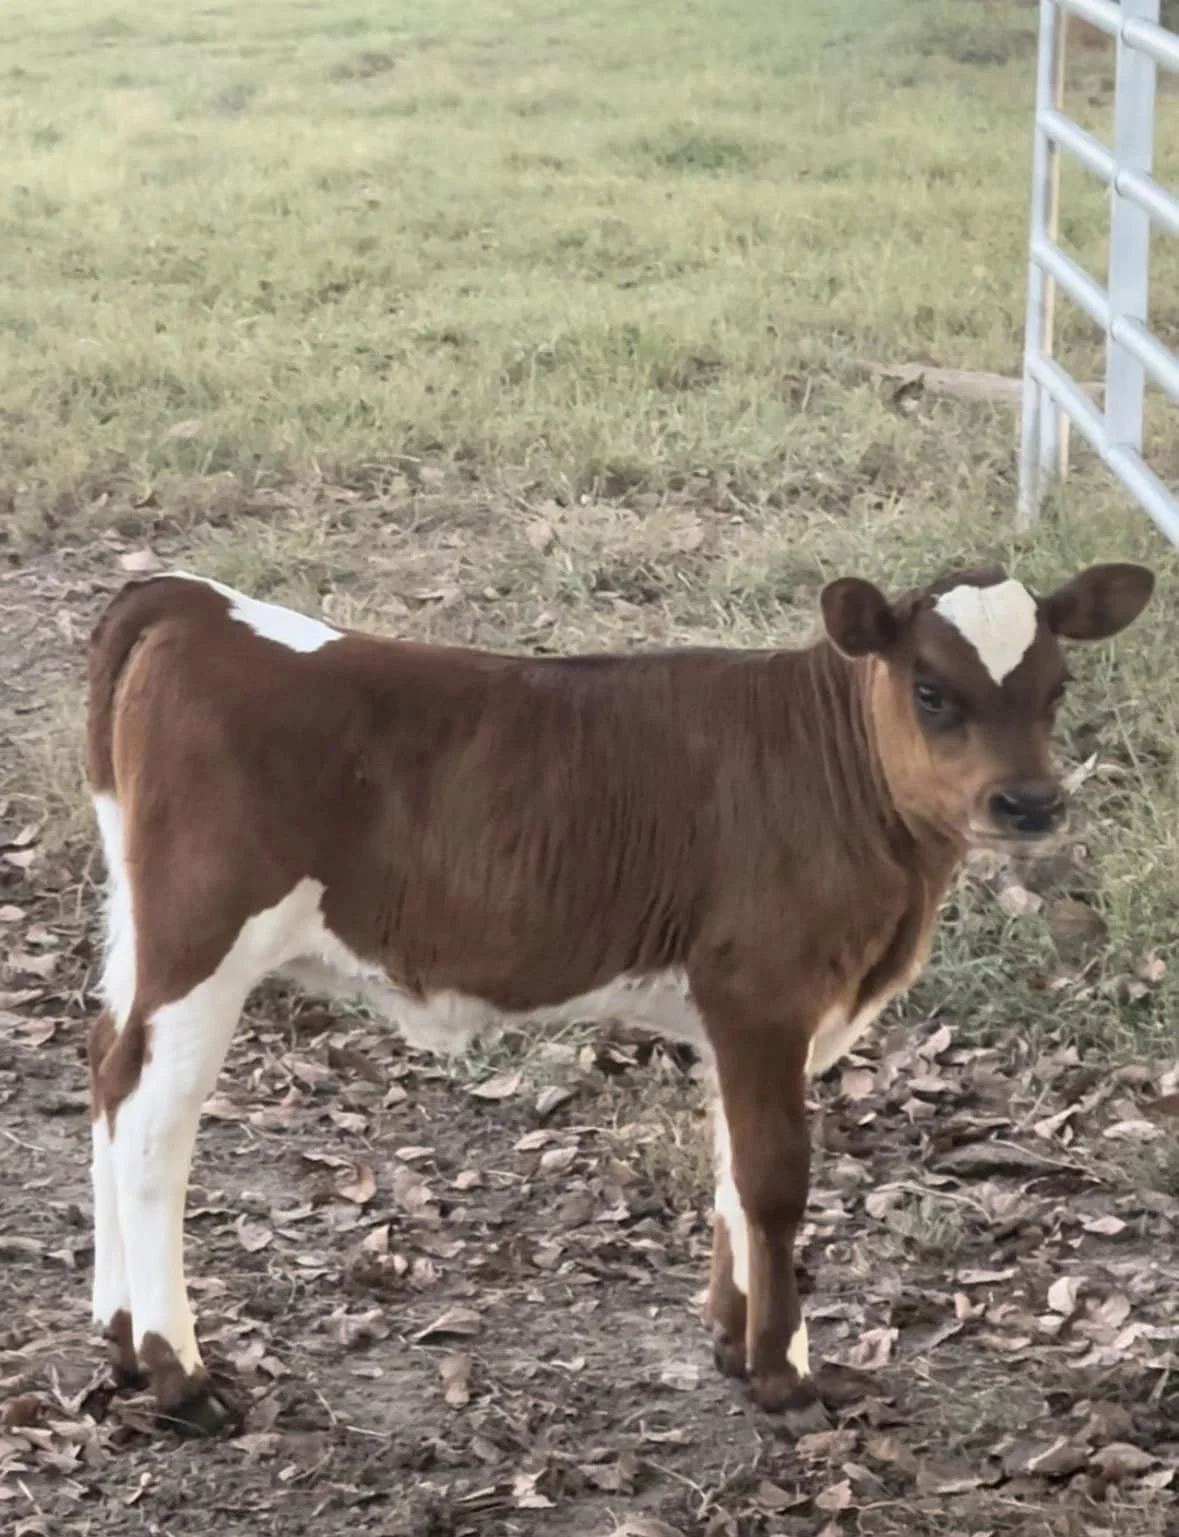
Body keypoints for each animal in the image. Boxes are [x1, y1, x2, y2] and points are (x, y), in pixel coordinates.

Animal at [83, 559, 1154, 1434]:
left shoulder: (743, 1018)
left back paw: (120, 1336)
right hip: (202, 941)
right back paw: (179, 1373)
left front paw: (731, 1340)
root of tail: (193, 600)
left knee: (106, 1076)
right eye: (930, 690)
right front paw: (785, 1374)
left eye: (1056, 688)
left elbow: (728, 1165)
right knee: (152, 1125)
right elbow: (773, 1179)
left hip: (138, 934)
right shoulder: (764, 991)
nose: (1030, 803)